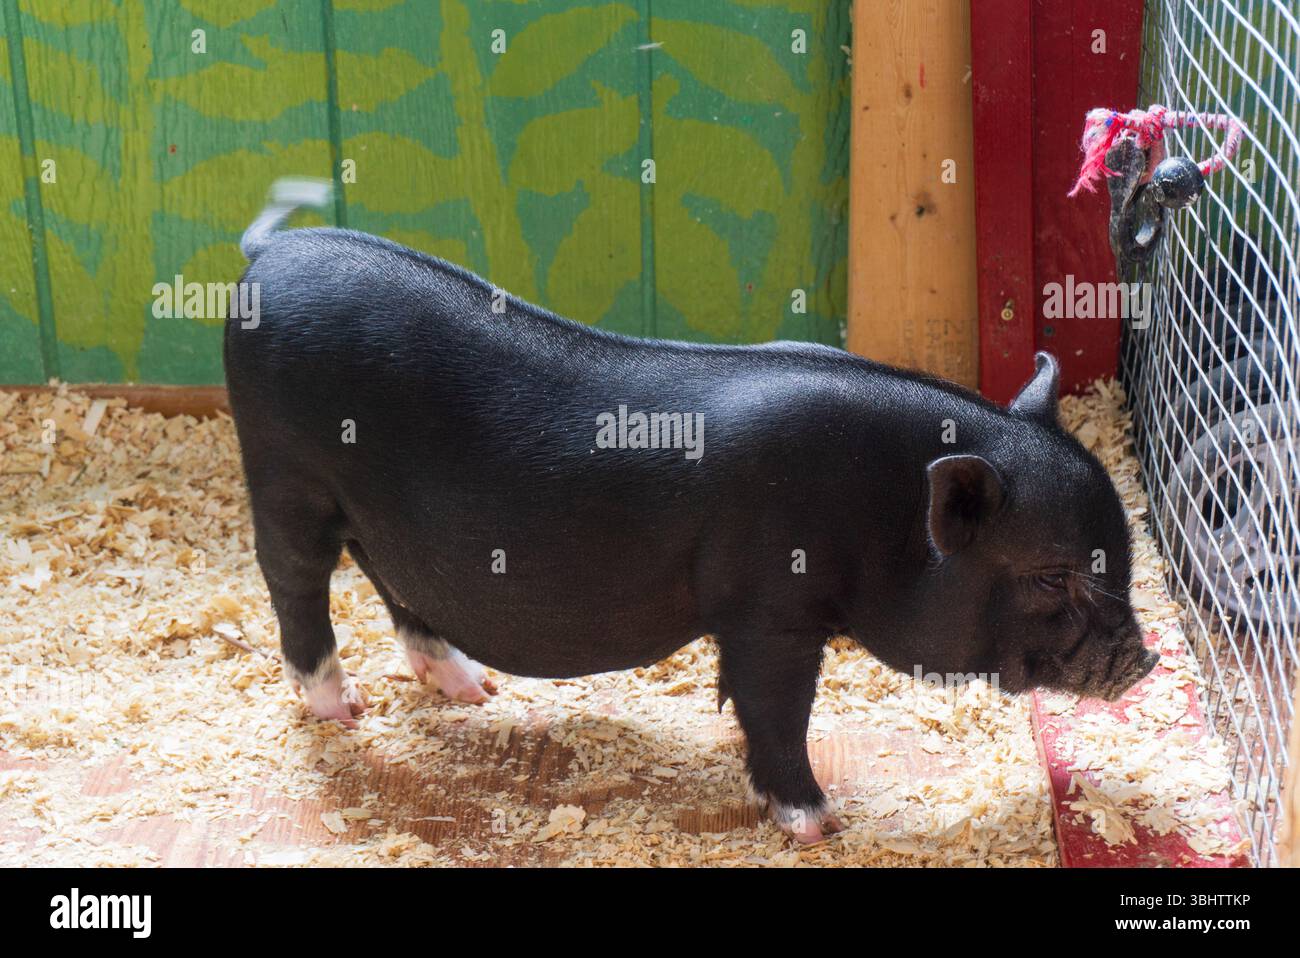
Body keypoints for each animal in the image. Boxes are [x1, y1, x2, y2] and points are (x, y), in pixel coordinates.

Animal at [225, 180, 1159, 843]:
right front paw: (820, 825)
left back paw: (472, 691)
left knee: (394, 582)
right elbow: (774, 706)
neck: (880, 505)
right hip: (284, 476)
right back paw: (340, 708)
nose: (1142, 661)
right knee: (296, 585)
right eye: (1052, 577)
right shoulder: (768, 610)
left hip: (371, 511)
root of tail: (269, 253)